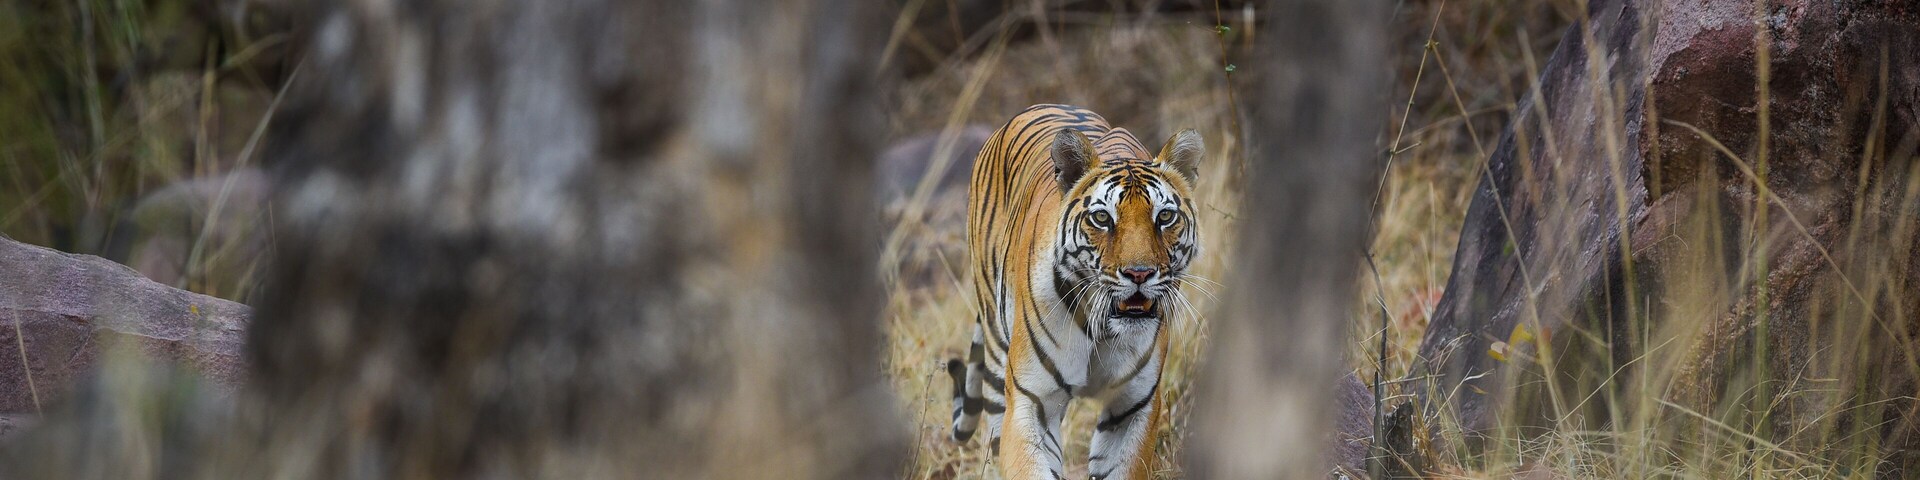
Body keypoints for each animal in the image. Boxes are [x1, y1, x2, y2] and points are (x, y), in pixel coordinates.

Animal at [946, 104, 1204, 480]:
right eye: (1102, 219)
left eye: (1165, 216)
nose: (1139, 273)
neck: (1103, 328)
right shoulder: (1032, 401)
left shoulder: (1134, 407)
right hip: (995, 353)